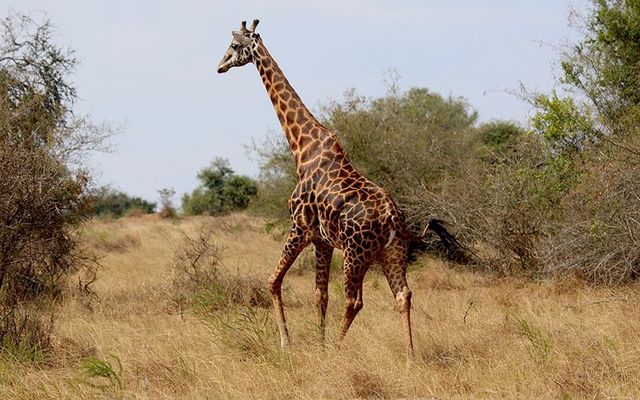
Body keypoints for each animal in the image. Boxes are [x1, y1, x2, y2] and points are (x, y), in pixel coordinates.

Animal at [218, 19, 418, 360]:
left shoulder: (300, 228)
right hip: (391, 251)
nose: (219, 66)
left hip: (356, 253)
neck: (302, 147)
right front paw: (318, 344)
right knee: (403, 295)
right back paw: (409, 358)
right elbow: (319, 294)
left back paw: (339, 349)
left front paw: (289, 343)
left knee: (354, 300)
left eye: (232, 46)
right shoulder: (322, 240)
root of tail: (391, 217)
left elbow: (273, 281)